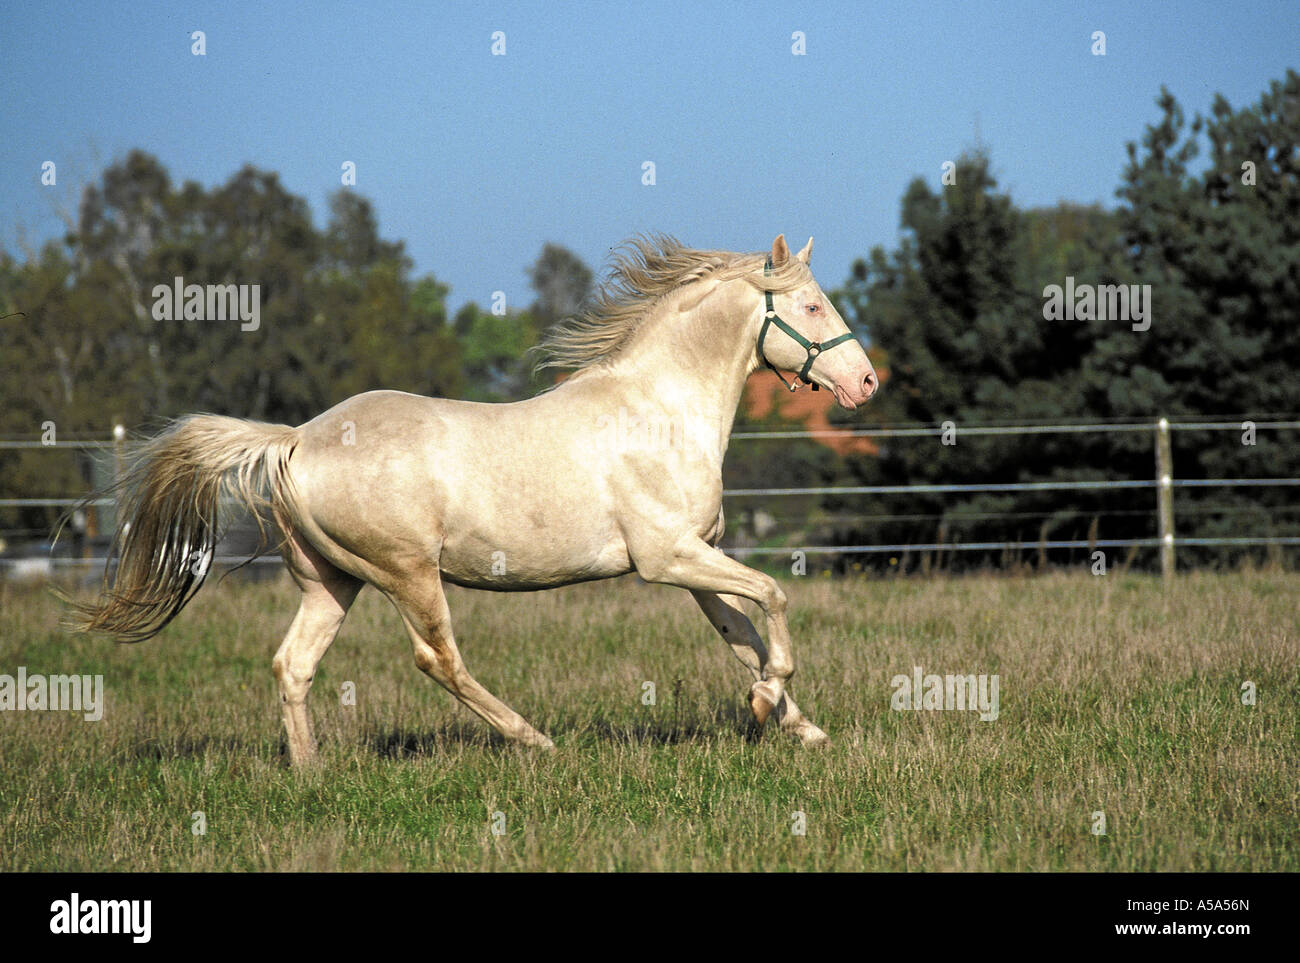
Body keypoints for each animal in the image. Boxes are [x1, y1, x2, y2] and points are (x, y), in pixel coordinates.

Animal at [73, 228, 883, 764]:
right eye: (813, 307)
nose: (867, 382)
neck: (657, 407)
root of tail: (297, 437)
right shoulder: (666, 558)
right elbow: (774, 599)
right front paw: (769, 703)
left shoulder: (694, 559)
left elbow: (742, 633)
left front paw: (795, 723)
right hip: (407, 573)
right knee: (438, 659)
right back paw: (536, 740)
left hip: (330, 581)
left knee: (292, 665)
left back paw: (309, 776)